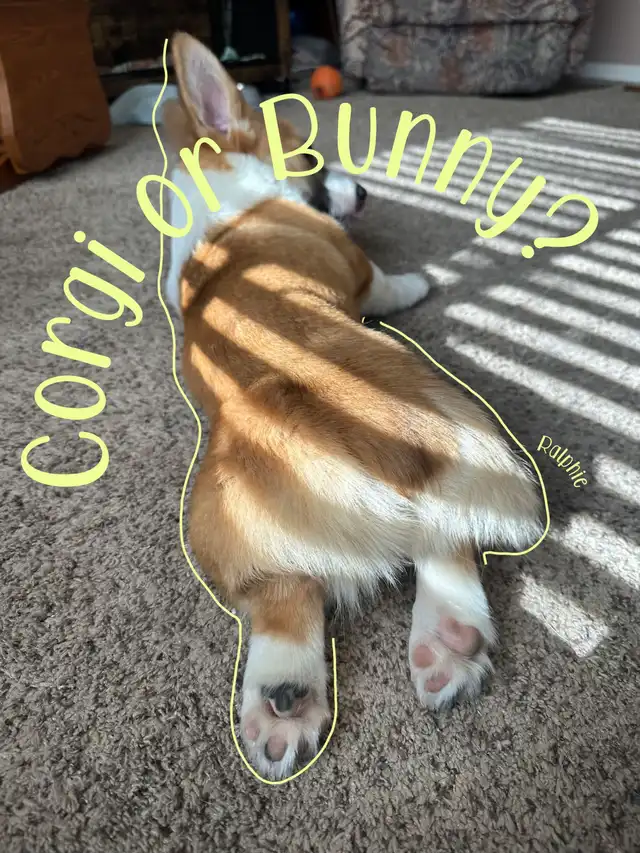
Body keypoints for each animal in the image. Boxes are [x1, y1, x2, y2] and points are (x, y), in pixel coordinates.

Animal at [161, 32, 542, 780]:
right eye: (308, 156)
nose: (364, 190)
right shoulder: (363, 270)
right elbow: (389, 281)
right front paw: (421, 280)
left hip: (219, 527)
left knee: (283, 598)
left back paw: (285, 697)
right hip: (475, 441)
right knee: (445, 540)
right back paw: (451, 637)